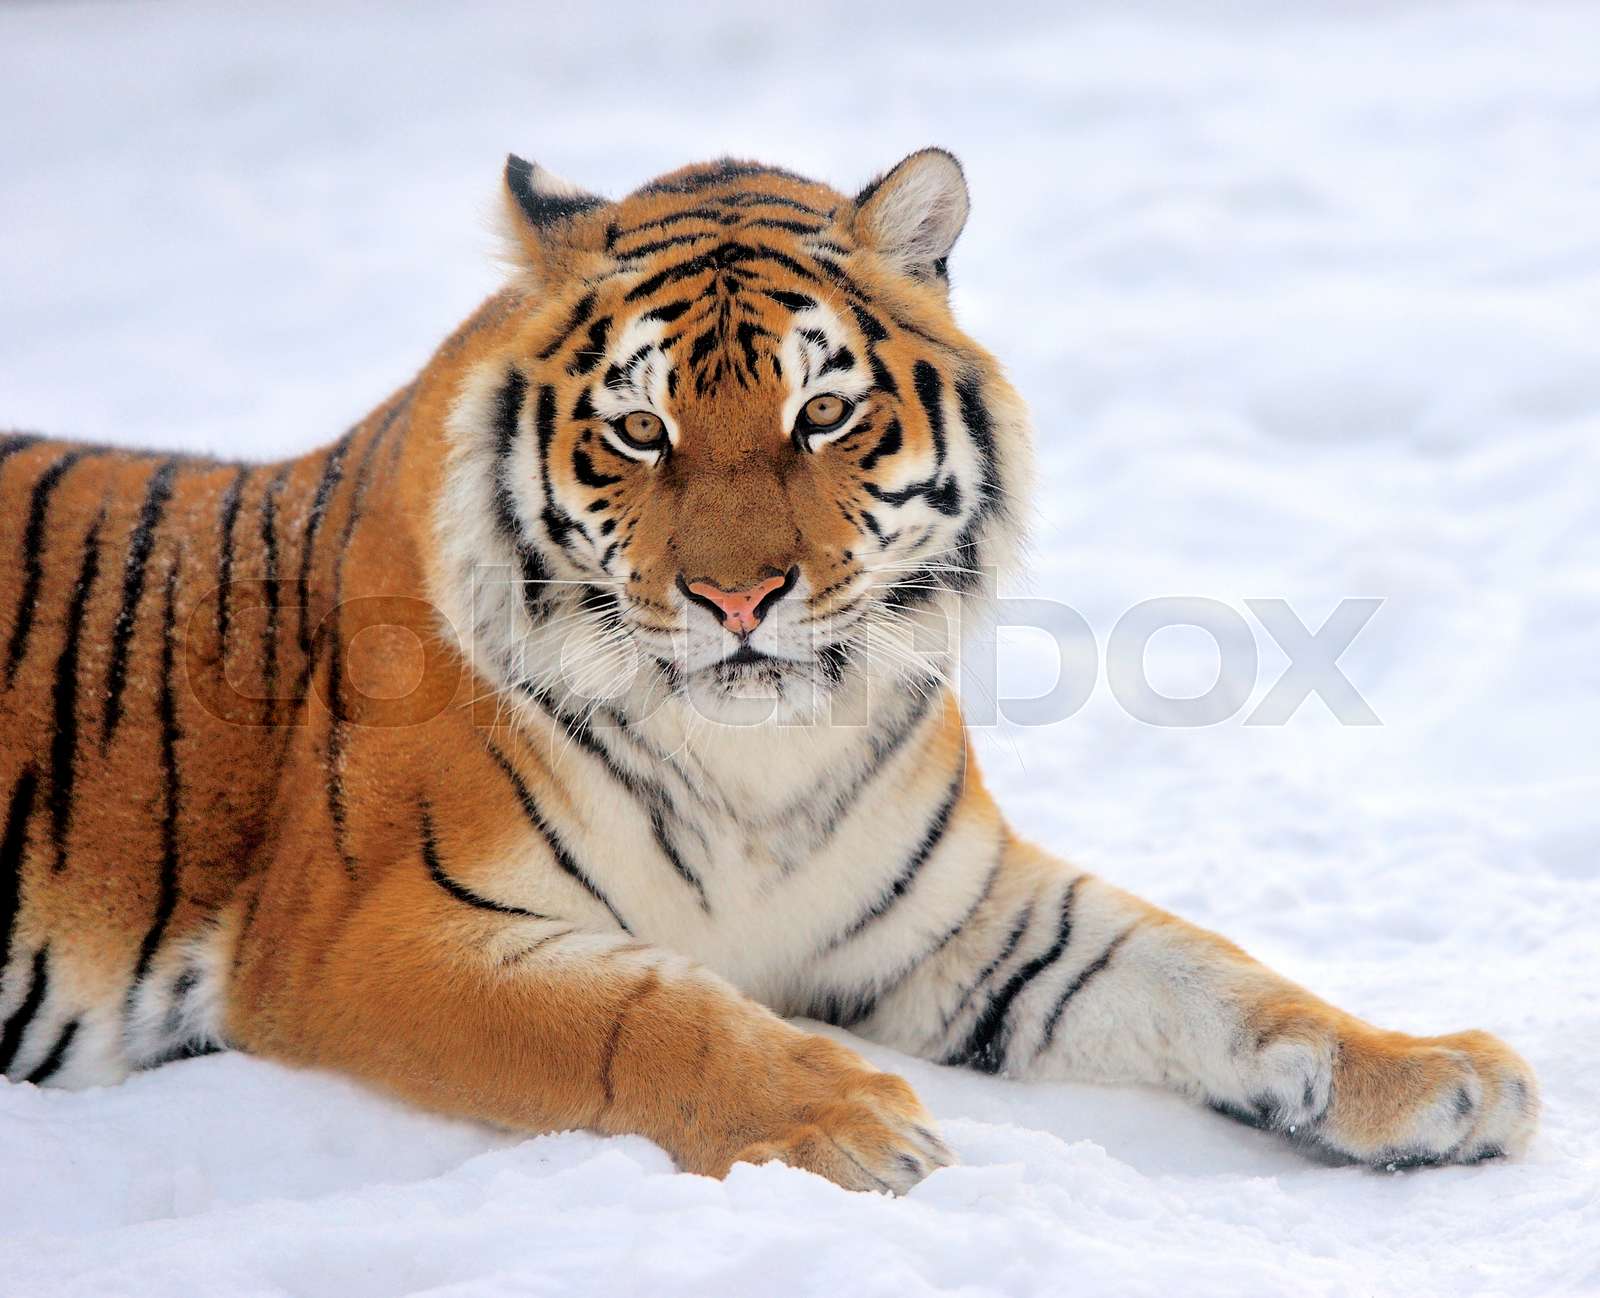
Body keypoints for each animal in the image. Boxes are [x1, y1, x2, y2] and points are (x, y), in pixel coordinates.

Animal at [0, 149, 1537, 1190]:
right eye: (639, 428)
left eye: (823, 413)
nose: (737, 595)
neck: (759, 760)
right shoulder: (365, 929)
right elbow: (638, 1015)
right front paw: (848, 1119)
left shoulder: (959, 918)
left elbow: (1199, 970)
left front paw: (1436, 1075)